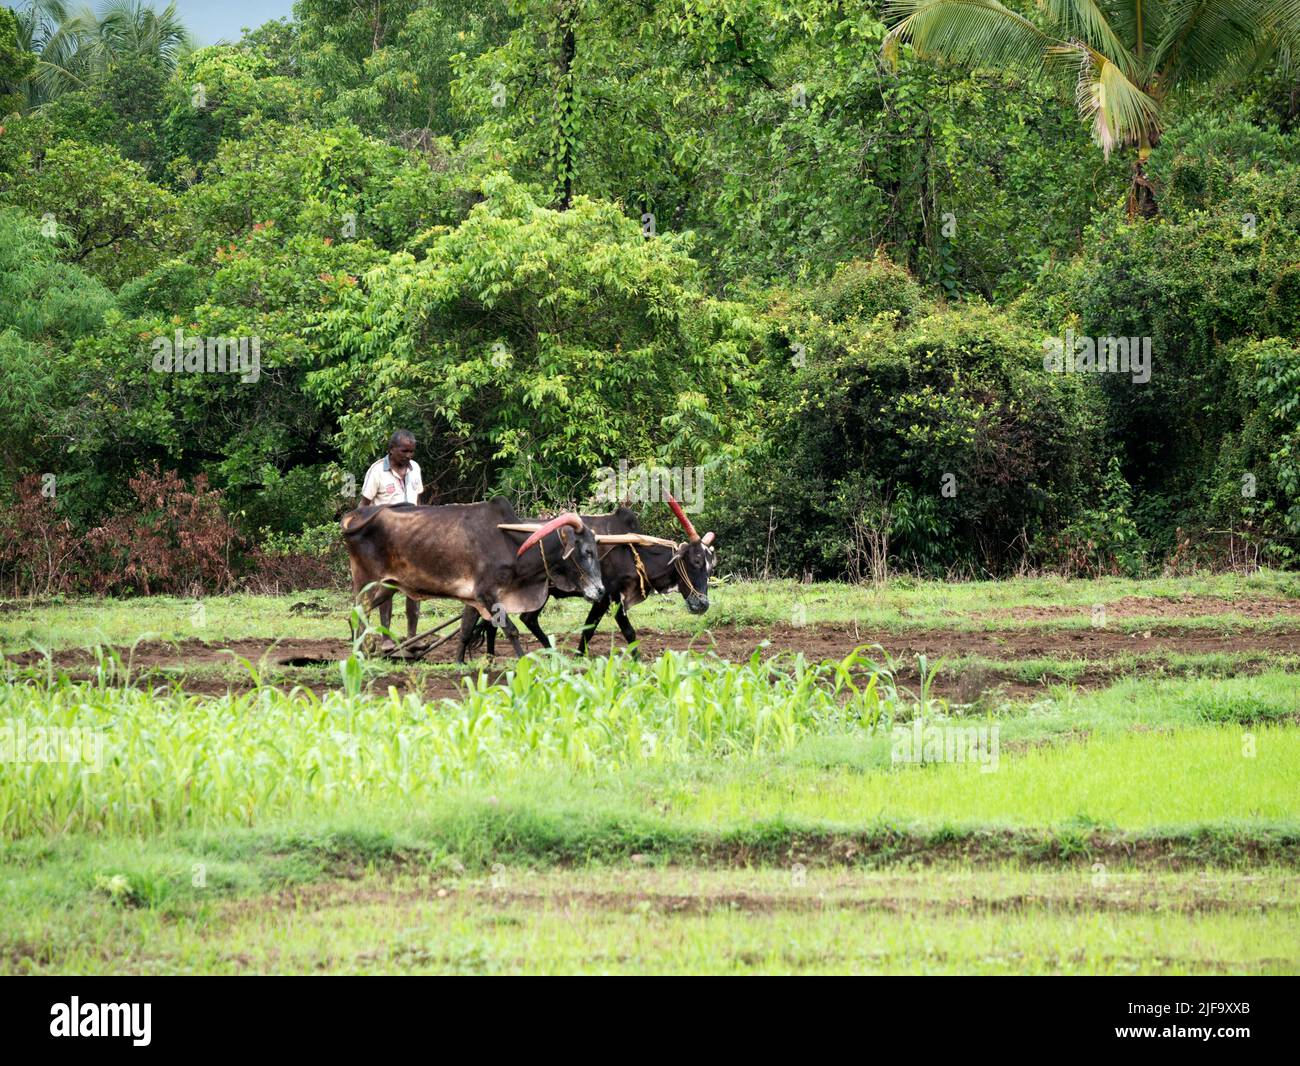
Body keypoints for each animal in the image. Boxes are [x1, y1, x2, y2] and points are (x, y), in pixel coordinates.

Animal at [341, 498, 606, 660]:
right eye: (587, 551)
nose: (601, 591)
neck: (512, 547)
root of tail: (356, 515)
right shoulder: (486, 594)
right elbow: (511, 630)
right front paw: (522, 662)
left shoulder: (476, 599)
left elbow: (469, 629)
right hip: (366, 581)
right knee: (358, 613)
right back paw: (359, 654)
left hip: (387, 586)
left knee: (357, 615)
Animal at [464, 495, 716, 658]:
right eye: (695, 561)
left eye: (710, 566)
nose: (703, 604)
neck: (632, 550)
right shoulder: (607, 596)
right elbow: (611, 630)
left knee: (513, 620)